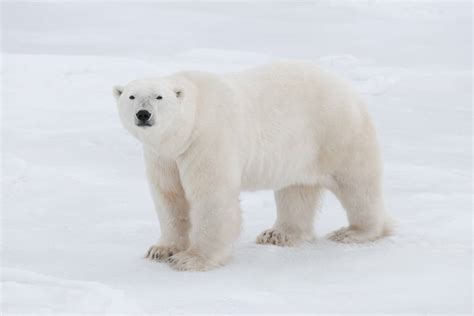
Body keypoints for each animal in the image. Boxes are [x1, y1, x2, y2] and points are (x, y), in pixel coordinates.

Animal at [112, 61, 392, 272]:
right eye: (131, 96)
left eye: (159, 96)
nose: (143, 114)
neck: (188, 126)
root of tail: (348, 88)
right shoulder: (163, 156)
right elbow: (169, 197)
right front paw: (161, 249)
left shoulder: (208, 140)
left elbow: (211, 196)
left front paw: (191, 259)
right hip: (299, 149)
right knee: (296, 190)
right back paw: (279, 234)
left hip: (336, 130)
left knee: (357, 183)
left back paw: (355, 232)